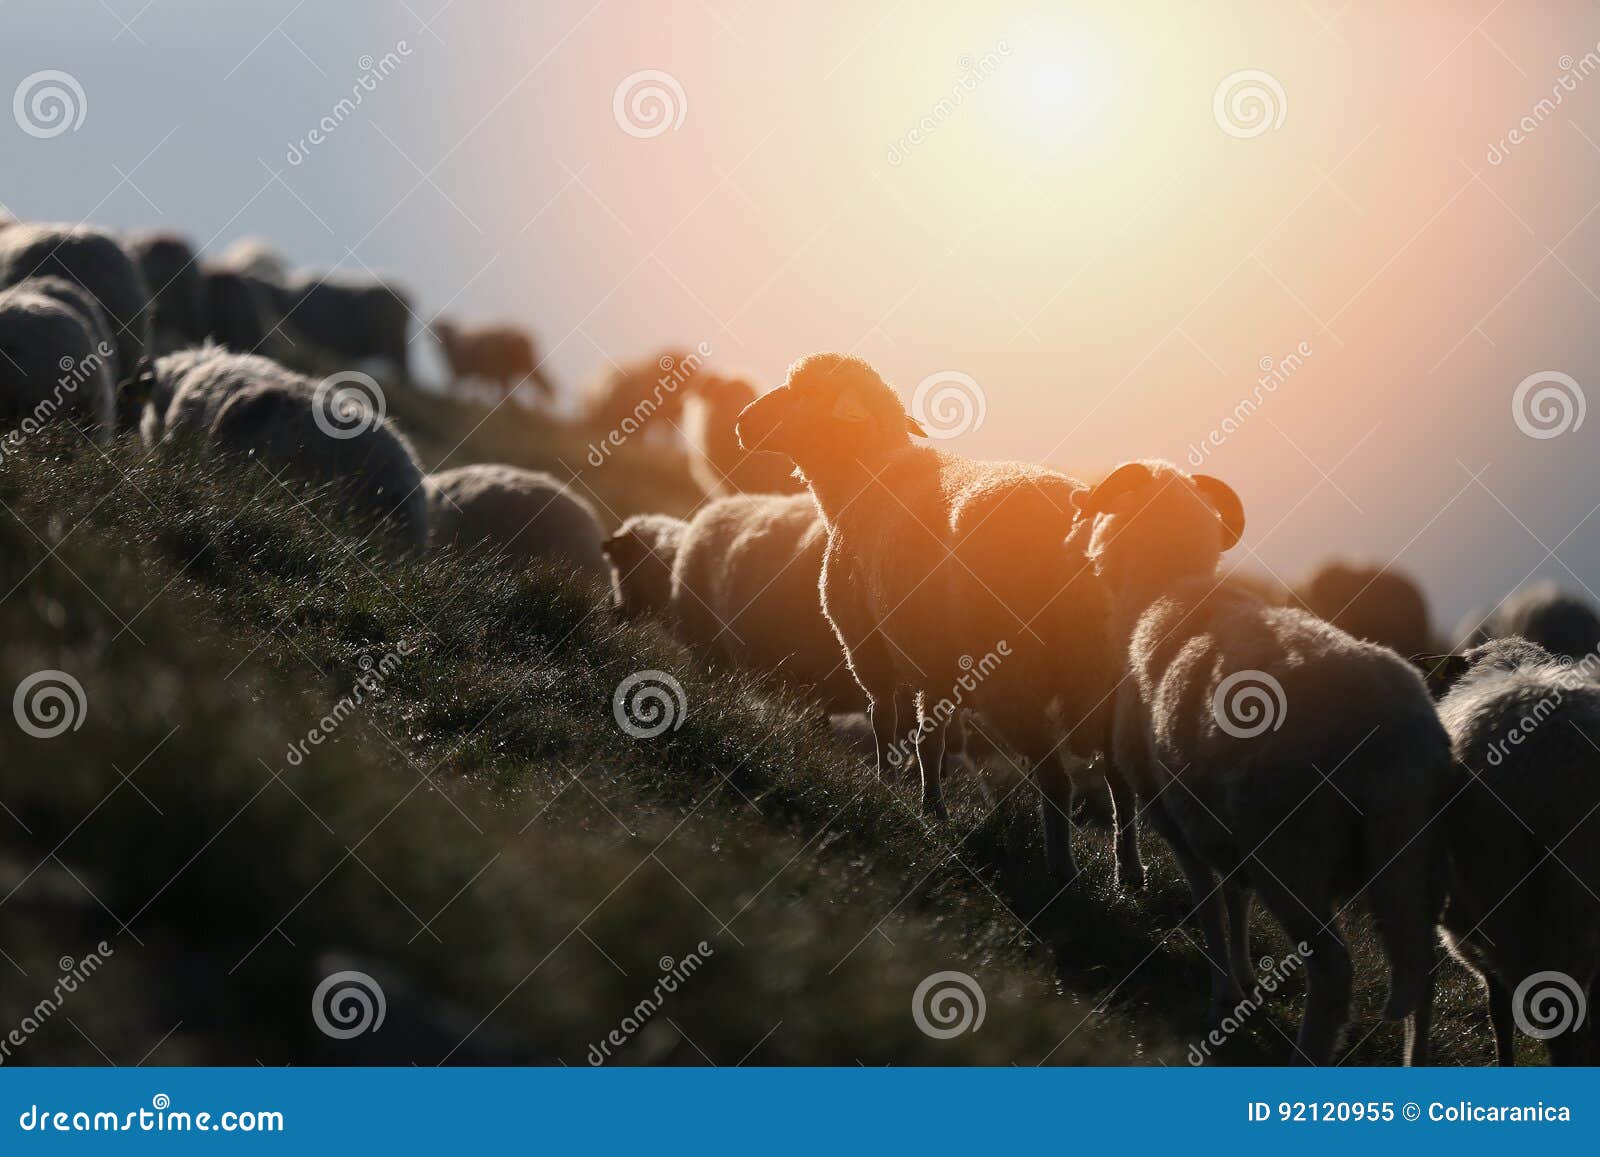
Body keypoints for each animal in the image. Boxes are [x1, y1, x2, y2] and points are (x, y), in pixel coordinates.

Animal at [734, 354, 1143, 888]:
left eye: (805, 392)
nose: (744, 423)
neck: (861, 479)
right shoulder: (934, 661)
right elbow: (932, 738)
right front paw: (934, 809)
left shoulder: (865, 641)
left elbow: (883, 717)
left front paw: (885, 785)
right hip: (1109, 676)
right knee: (1120, 778)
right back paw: (1128, 872)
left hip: (1014, 677)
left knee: (1056, 778)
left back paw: (1063, 870)